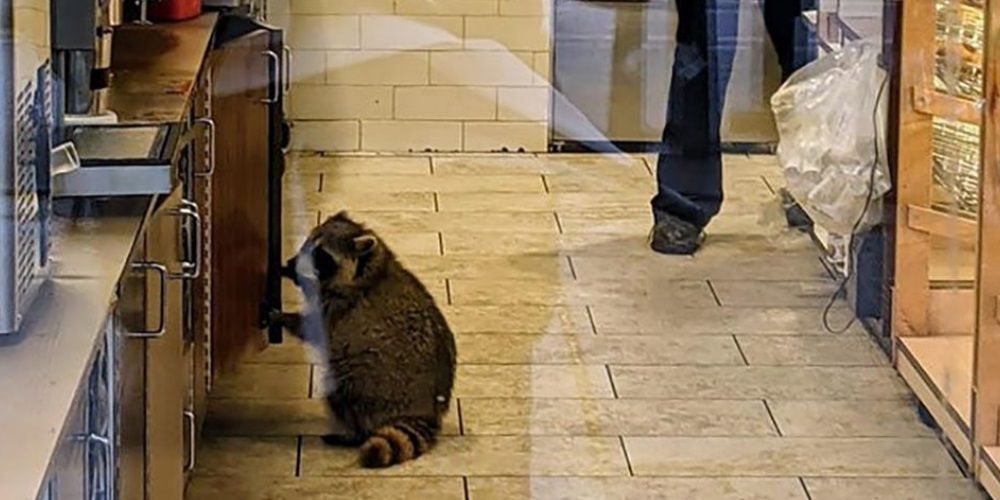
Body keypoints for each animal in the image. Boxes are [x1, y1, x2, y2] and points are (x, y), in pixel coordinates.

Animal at [280, 212, 457, 468]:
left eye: (321, 255)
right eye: (307, 245)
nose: (291, 263)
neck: (373, 267)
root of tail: (427, 410)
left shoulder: (340, 308)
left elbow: (312, 329)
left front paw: (281, 315)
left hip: (367, 384)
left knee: (342, 390)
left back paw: (353, 434)